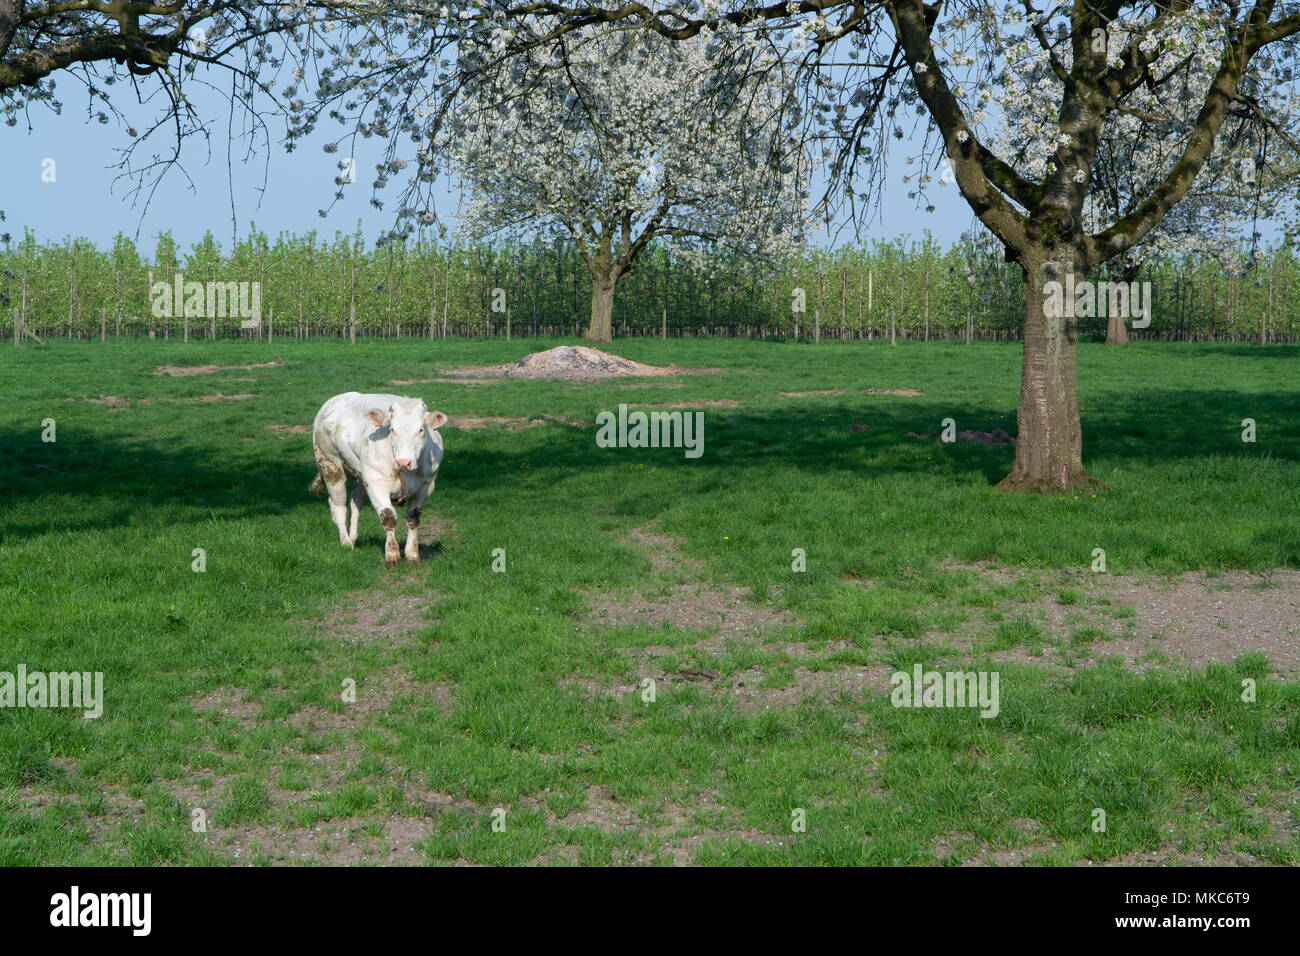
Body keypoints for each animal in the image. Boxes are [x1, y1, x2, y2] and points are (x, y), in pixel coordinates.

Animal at [309, 392, 448, 565]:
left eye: (421, 429)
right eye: (392, 429)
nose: (404, 462)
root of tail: (334, 400)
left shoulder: (427, 485)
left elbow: (413, 519)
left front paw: (412, 554)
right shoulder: (376, 483)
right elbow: (388, 518)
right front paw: (392, 555)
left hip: (361, 473)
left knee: (355, 502)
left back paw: (353, 538)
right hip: (330, 464)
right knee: (338, 506)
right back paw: (346, 542)